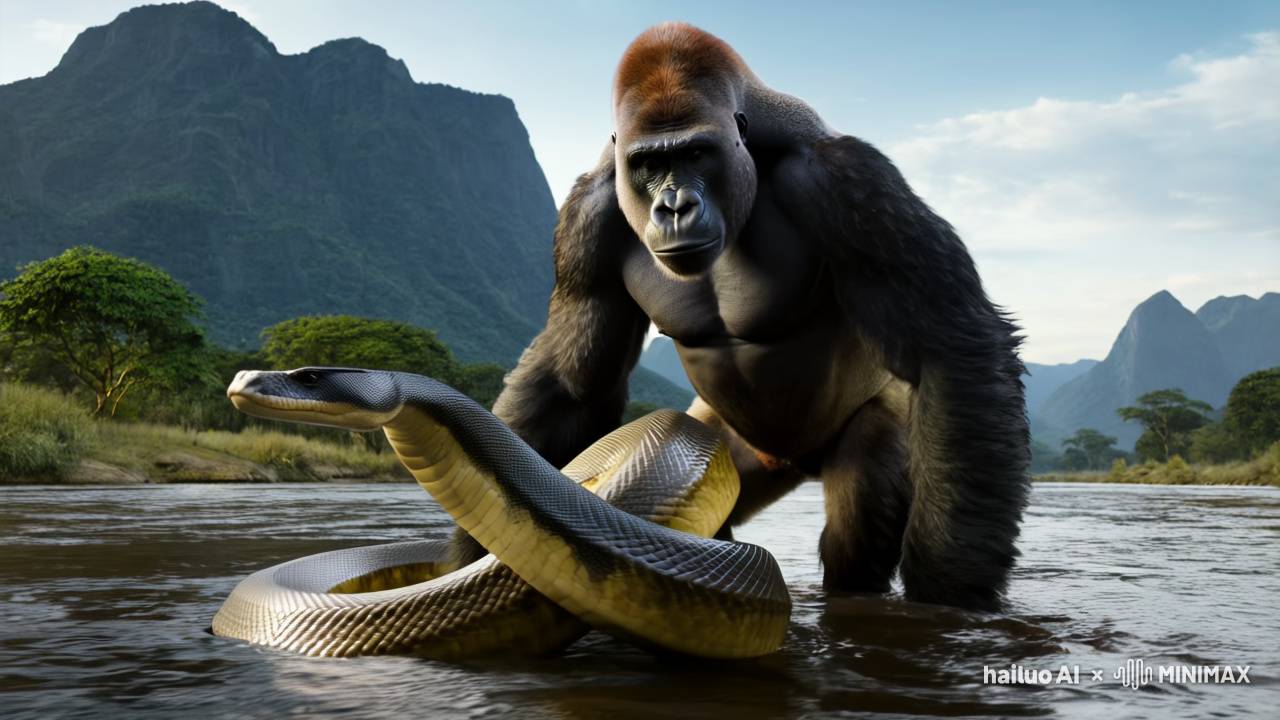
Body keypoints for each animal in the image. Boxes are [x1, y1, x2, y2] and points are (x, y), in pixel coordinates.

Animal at [477, 23, 1030, 612]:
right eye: (649, 165)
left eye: (697, 154)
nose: (674, 207)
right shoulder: (590, 214)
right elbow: (573, 384)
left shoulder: (847, 181)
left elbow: (948, 345)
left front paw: (950, 585)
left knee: (862, 513)